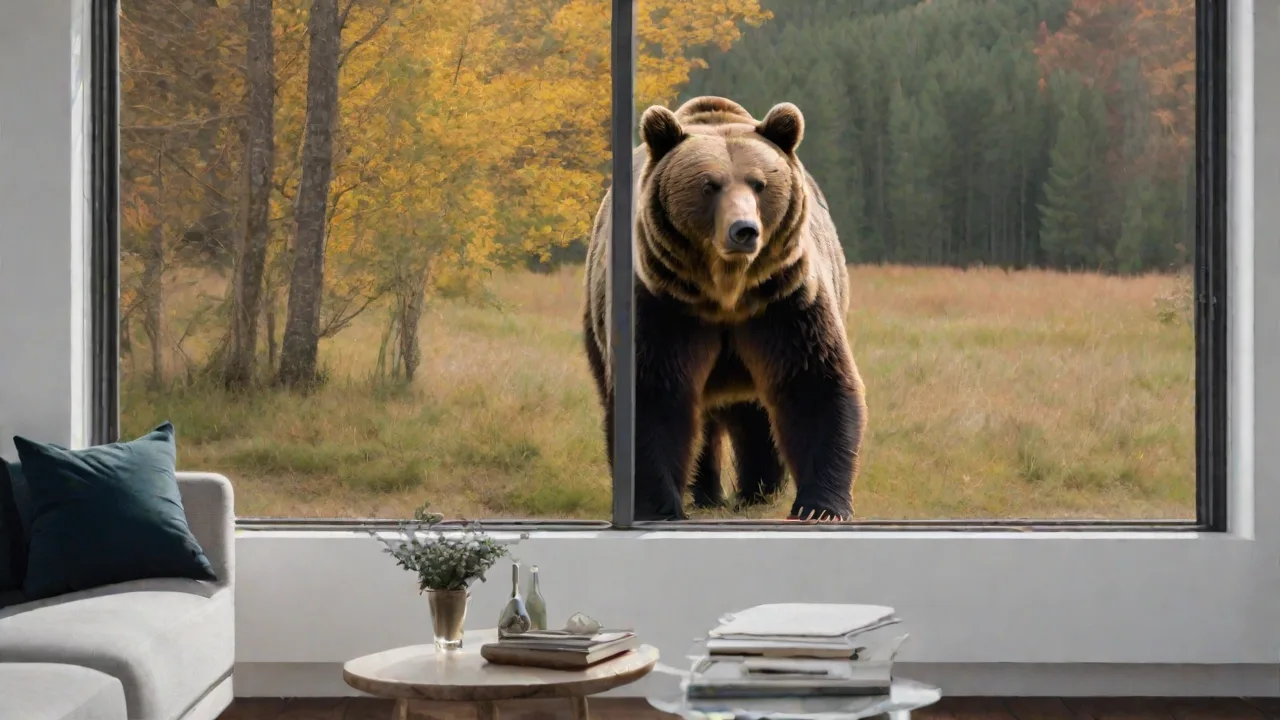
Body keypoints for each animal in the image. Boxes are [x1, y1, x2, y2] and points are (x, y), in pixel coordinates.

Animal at [582, 95, 866, 522]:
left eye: (760, 184)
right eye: (708, 185)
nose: (744, 230)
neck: (726, 293)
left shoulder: (786, 303)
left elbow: (813, 382)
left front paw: (820, 507)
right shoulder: (663, 307)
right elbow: (655, 395)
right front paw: (660, 505)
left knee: (756, 415)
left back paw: (757, 491)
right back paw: (709, 493)